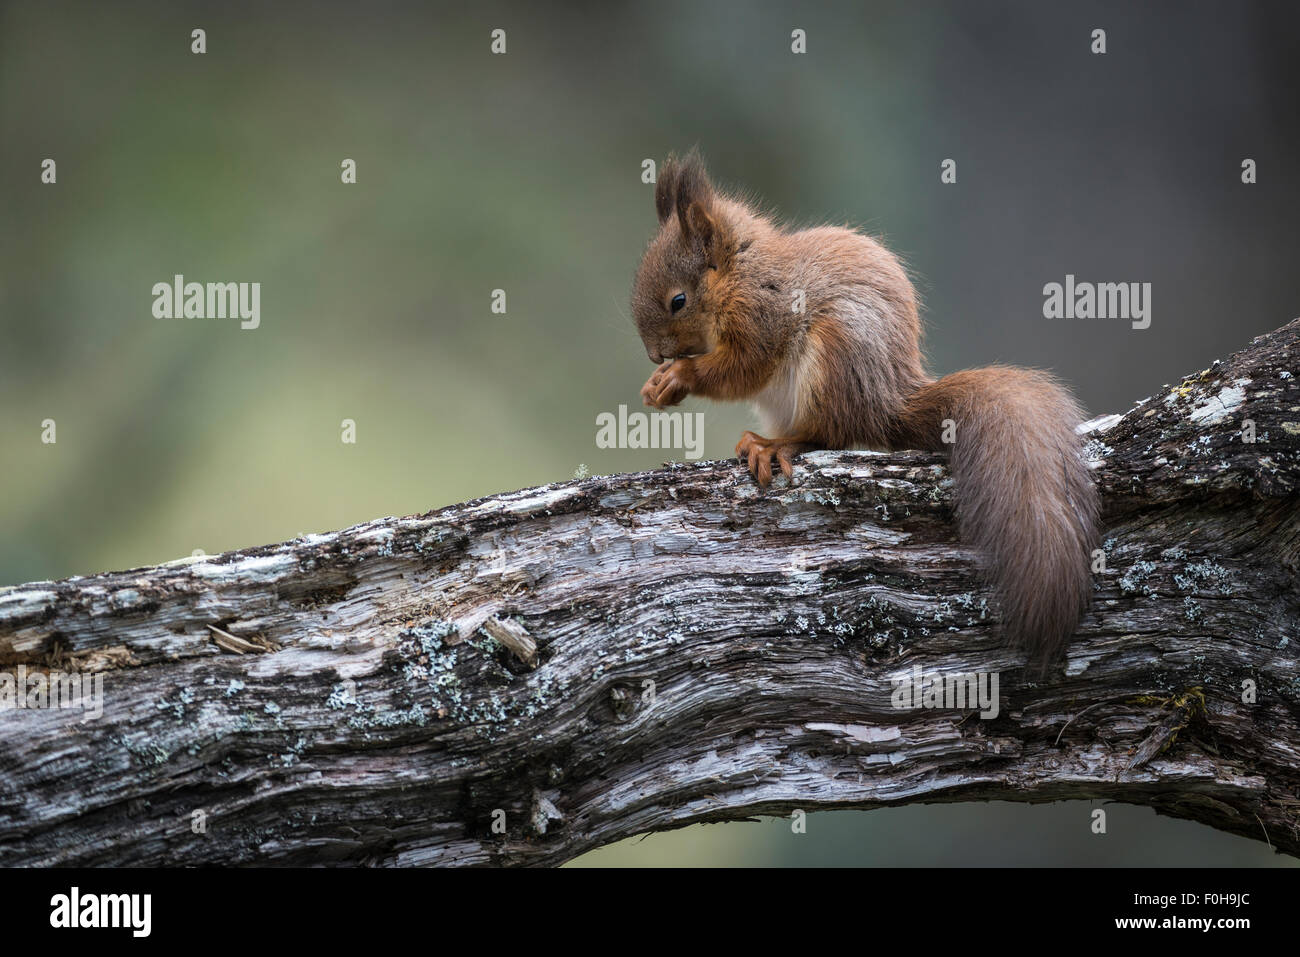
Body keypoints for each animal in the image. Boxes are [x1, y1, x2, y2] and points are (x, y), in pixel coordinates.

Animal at [630, 152, 1099, 666]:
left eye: (678, 301)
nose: (654, 355)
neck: (739, 273)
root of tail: (888, 402)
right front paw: (655, 386)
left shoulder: (763, 314)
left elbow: (745, 367)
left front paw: (680, 376)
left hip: (834, 355)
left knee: (827, 434)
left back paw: (774, 445)